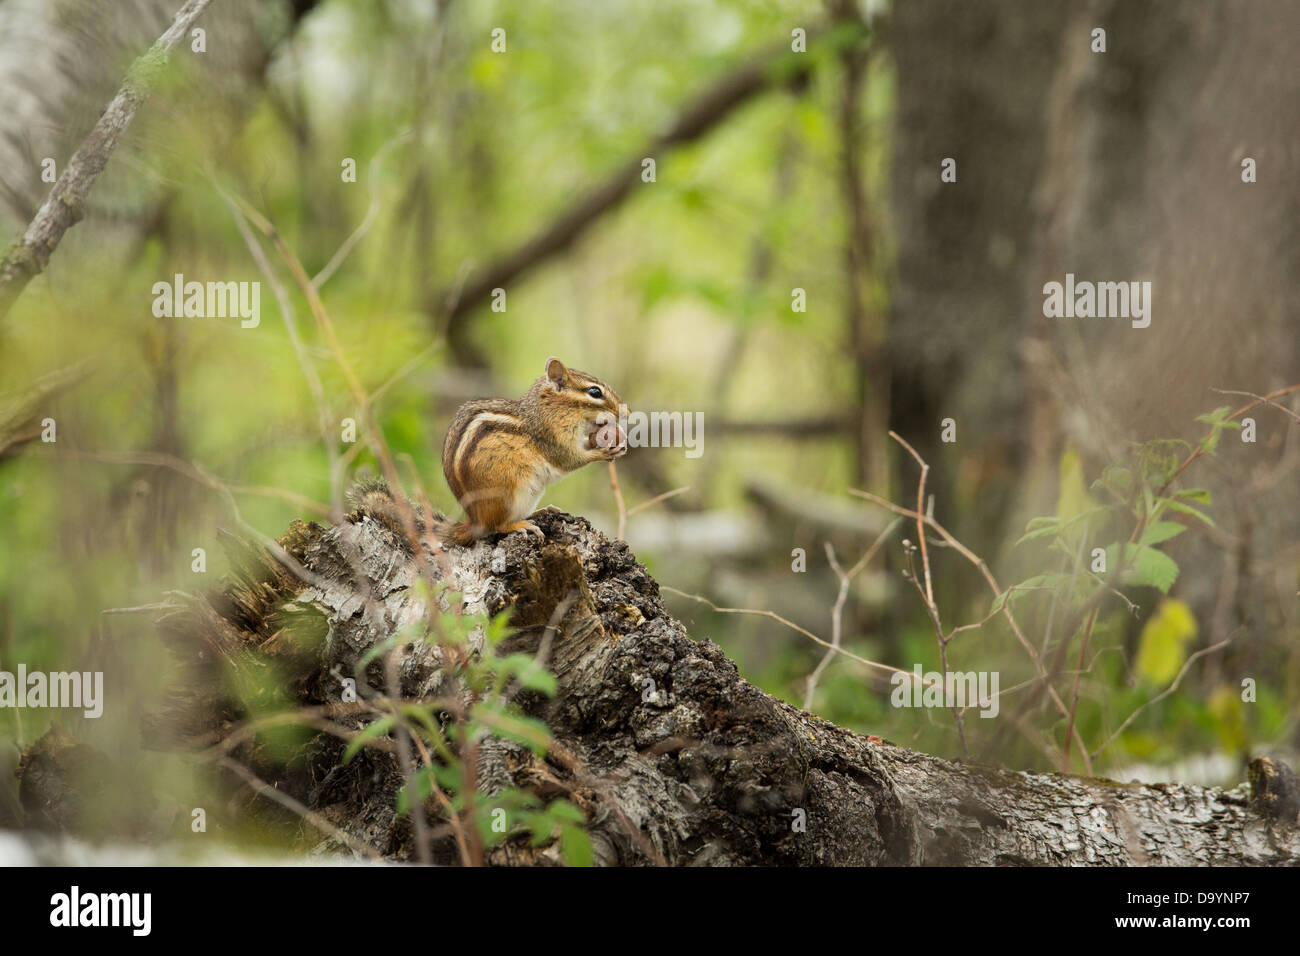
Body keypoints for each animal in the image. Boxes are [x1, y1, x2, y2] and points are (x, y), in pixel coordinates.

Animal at [351, 357, 627, 546]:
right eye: (595, 392)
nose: (625, 411)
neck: (549, 407)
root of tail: (475, 521)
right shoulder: (552, 438)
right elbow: (569, 459)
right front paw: (604, 452)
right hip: (509, 491)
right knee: (496, 527)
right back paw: (520, 525)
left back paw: (542, 511)